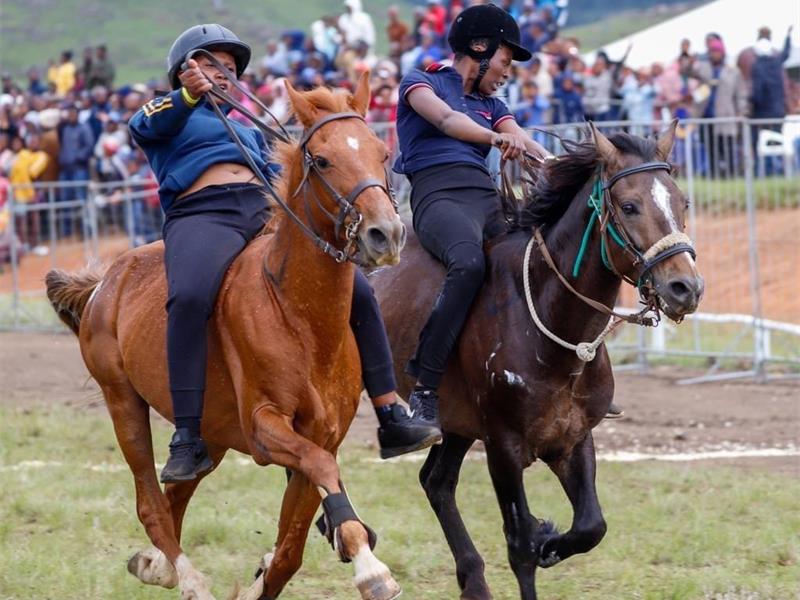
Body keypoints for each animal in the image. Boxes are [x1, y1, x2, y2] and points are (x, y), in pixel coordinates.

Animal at [45, 73, 405, 600]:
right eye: (321, 159)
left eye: (383, 152)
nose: (387, 234)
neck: (296, 314)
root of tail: (106, 281)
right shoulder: (265, 427)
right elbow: (322, 472)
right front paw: (370, 568)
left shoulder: (320, 435)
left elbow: (292, 545)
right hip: (123, 402)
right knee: (152, 504)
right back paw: (187, 579)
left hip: (209, 438)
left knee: (174, 496)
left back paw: (155, 566)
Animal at [370, 122, 704, 600]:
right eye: (629, 205)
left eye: (682, 203)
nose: (685, 287)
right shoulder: (503, 446)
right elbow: (520, 547)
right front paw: (539, 539)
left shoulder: (573, 438)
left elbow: (590, 526)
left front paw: (550, 539)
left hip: (456, 422)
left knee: (437, 481)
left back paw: (474, 580)